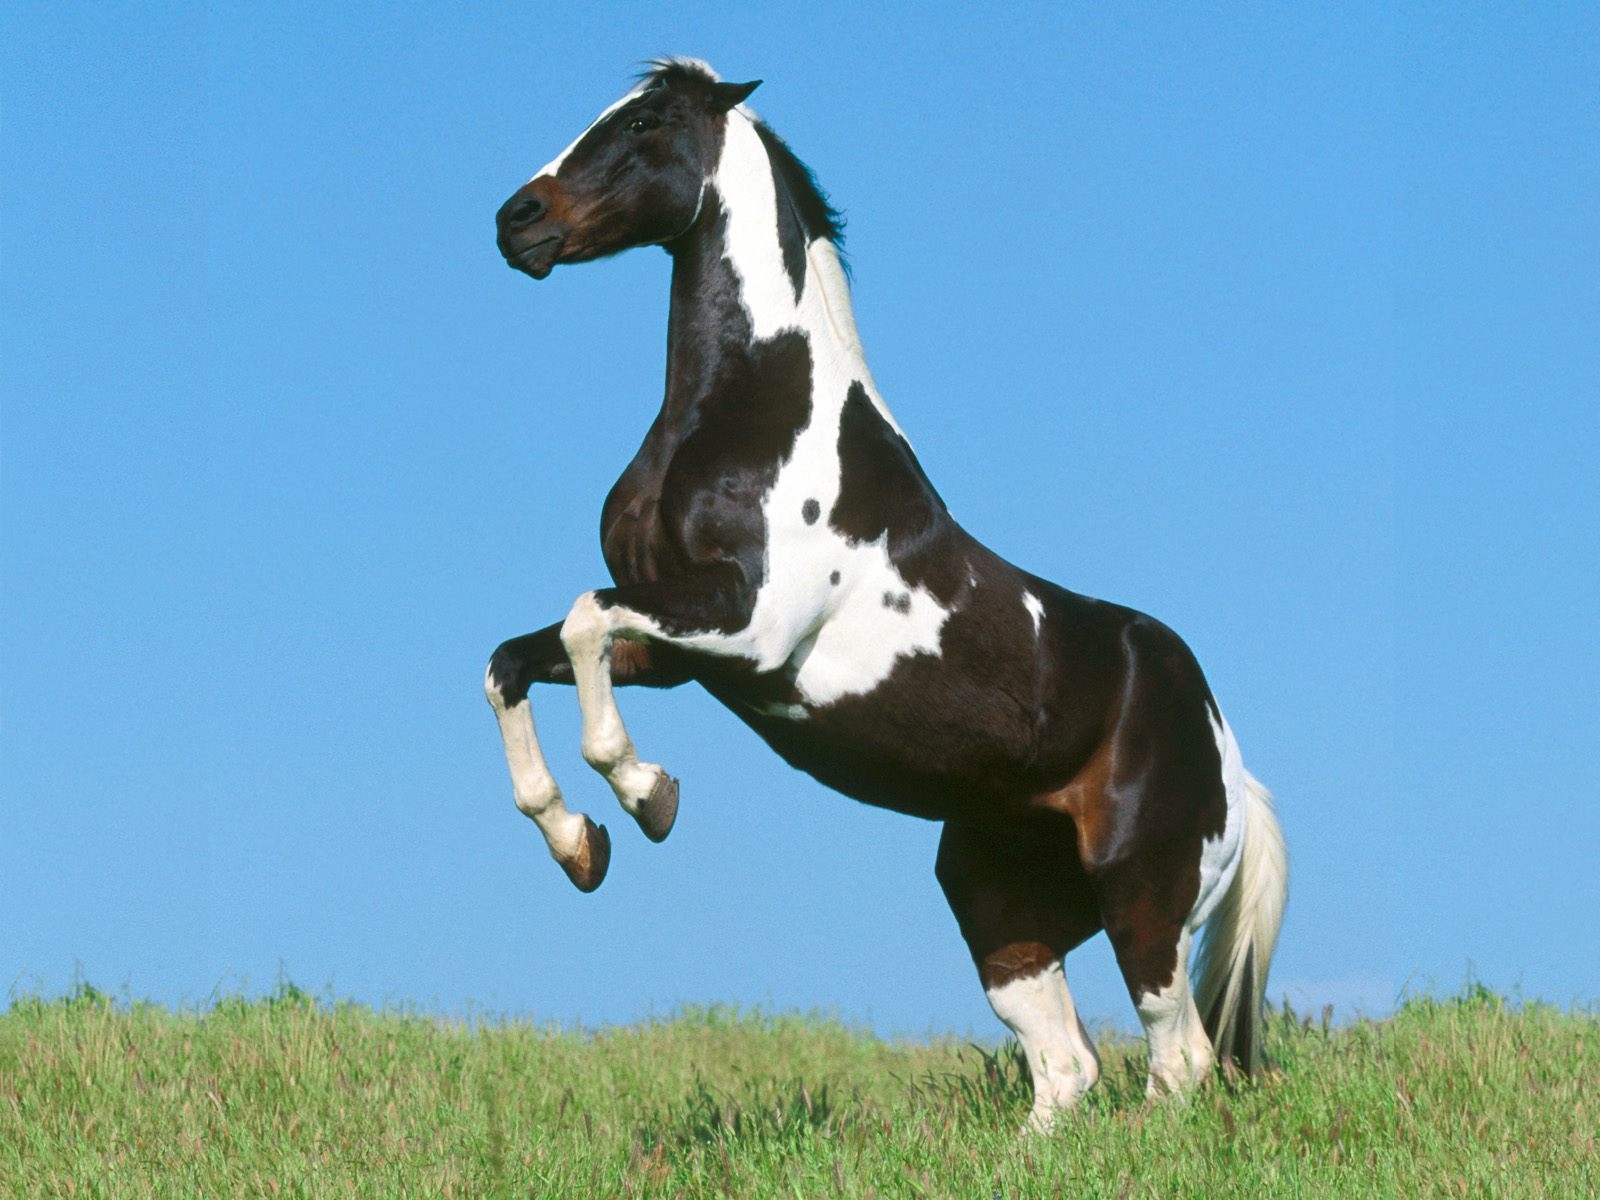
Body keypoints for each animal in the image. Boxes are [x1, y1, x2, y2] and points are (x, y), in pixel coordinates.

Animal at [485, 58, 1288, 1130]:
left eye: (647, 122)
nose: (516, 221)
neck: (756, 417)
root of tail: (1229, 756)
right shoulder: (670, 648)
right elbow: (514, 662)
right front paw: (580, 845)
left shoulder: (748, 629)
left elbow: (581, 622)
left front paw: (647, 796)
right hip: (998, 902)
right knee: (1065, 1068)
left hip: (1143, 898)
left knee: (1177, 1061)